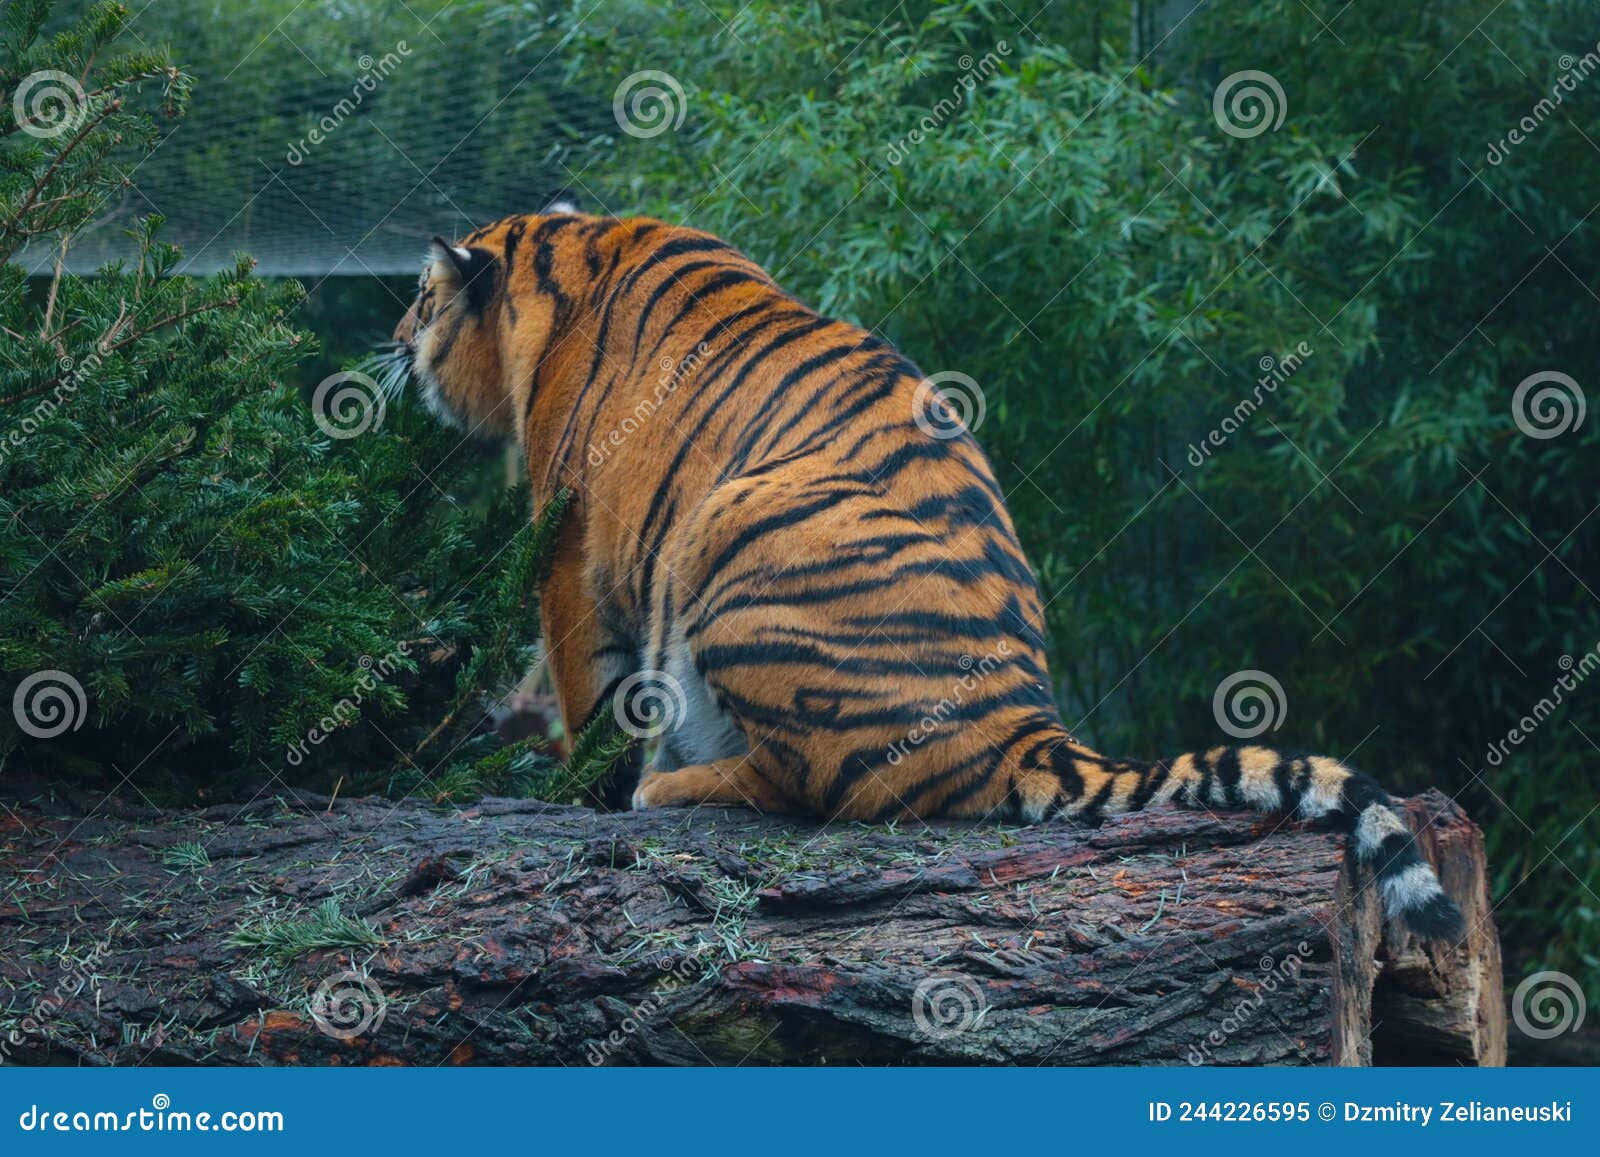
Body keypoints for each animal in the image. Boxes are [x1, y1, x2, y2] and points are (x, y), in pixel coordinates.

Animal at [384, 197, 1464, 941]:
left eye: (421, 296)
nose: (393, 343)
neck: (565, 260)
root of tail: (1026, 730)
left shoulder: (569, 544)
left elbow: (586, 684)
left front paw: (579, 785)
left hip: (727, 528)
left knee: (813, 787)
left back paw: (672, 786)